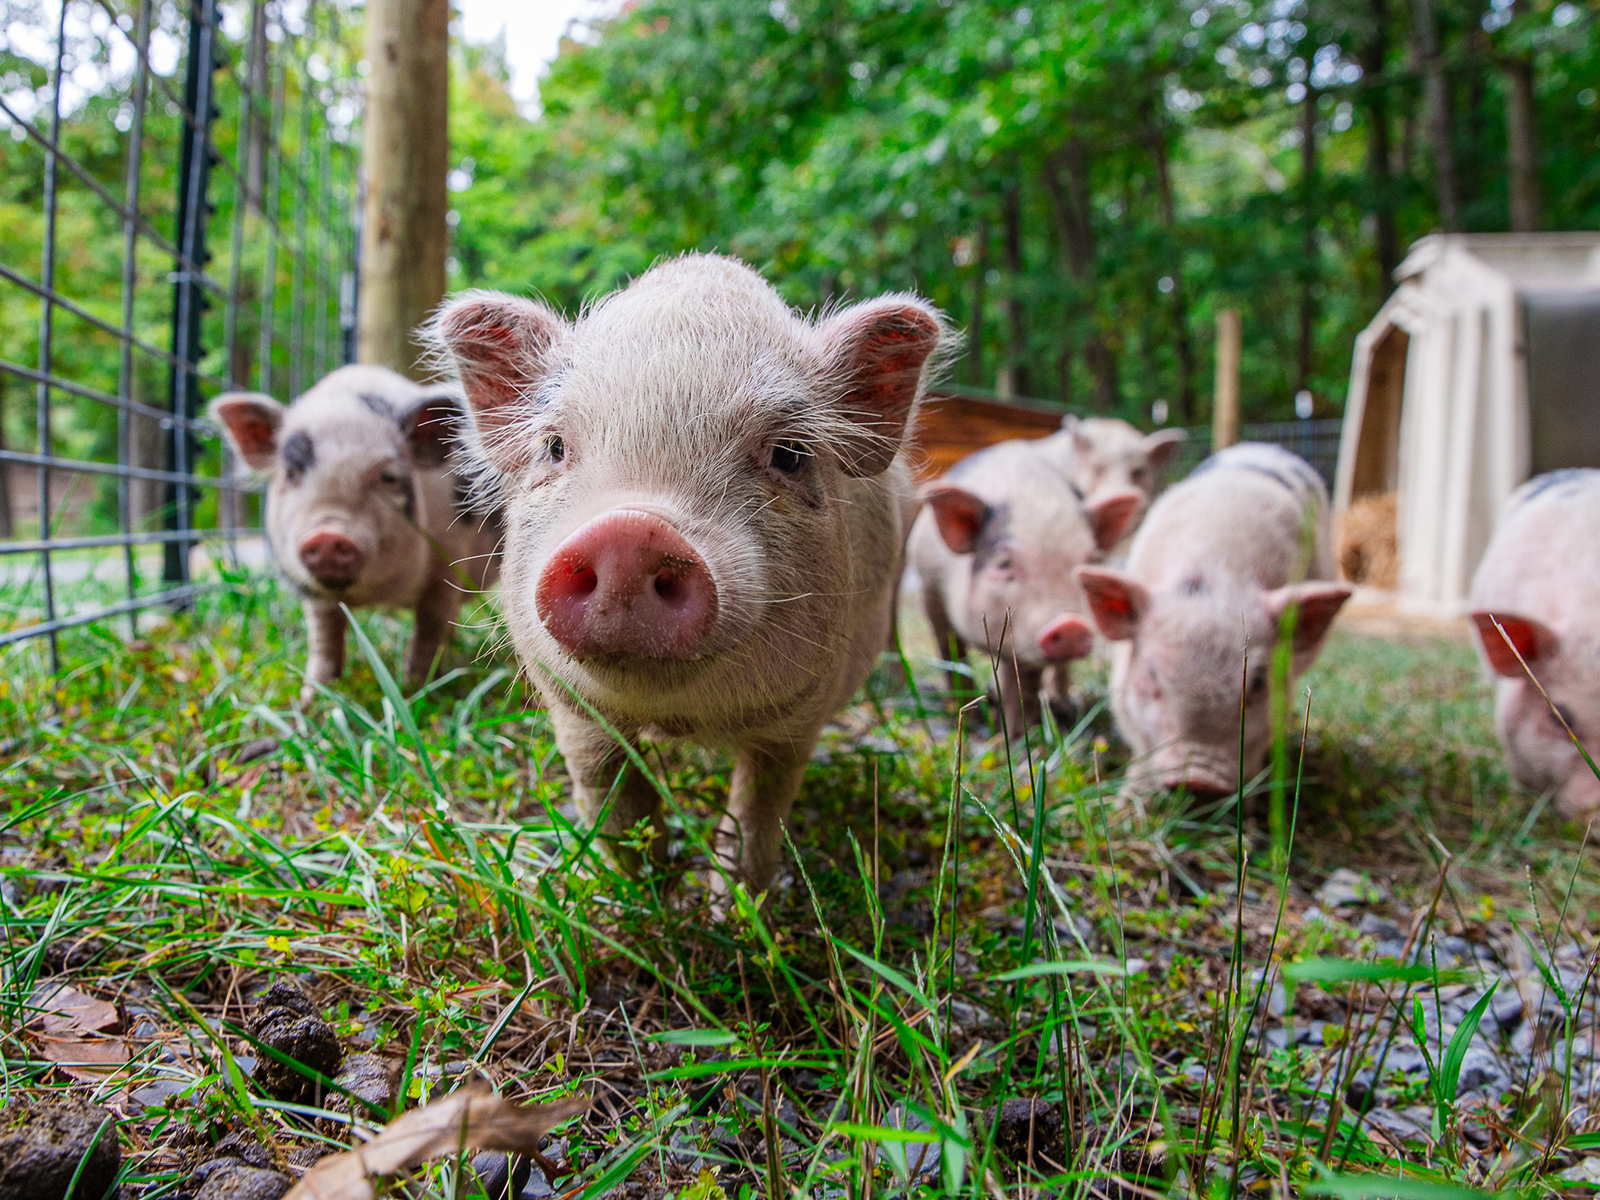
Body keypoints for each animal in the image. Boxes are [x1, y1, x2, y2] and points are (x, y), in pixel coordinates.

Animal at [211, 364, 502, 702]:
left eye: (387, 477)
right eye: (291, 473)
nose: (327, 535)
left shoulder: (446, 564)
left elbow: (428, 627)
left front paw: (416, 691)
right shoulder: (314, 595)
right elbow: (324, 640)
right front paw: (312, 700)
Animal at [424, 254, 949, 897]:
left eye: (790, 454)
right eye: (554, 447)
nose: (630, 532)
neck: (681, 721)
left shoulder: (800, 717)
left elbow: (759, 805)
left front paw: (737, 904)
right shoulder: (572, 709)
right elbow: (609, 793)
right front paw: (639, 892)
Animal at [907, 439, 1142, 733]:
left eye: (1089, 561)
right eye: (1004, 563)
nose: (1070, 623)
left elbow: (1024, 681)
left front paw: (1020, 733)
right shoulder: (929, 588)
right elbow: (951, 650)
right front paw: (967, 720)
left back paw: (1061, 707)